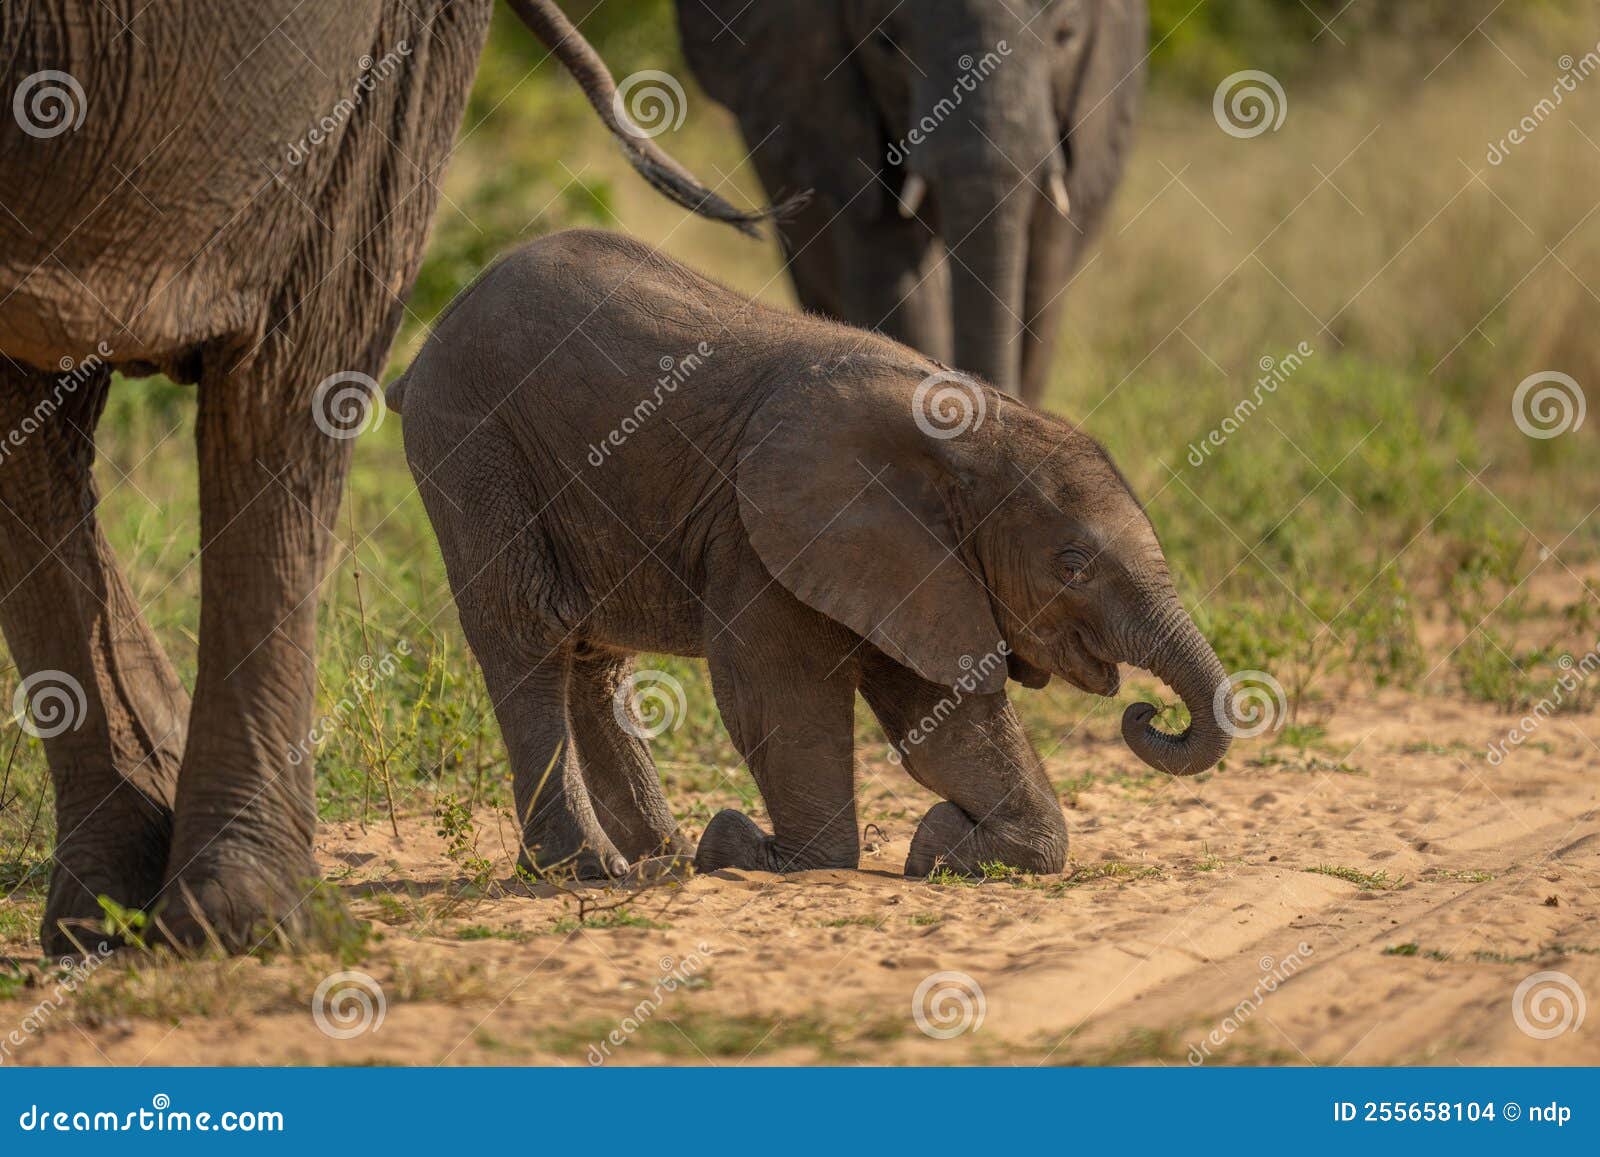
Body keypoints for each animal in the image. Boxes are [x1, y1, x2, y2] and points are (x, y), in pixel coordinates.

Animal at [388, 228, 1232, 880]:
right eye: (1071, 564)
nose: (1147, 710)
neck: (977, 429)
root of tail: (424, 348)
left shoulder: (915, 562)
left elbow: (945, 717)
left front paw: (943, 846)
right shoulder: (764, 536)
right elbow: (776, 695)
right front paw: (752, 850)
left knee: (595, 661)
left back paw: (658, 859)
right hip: (472, 442)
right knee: (527, 630)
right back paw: (592, 869)